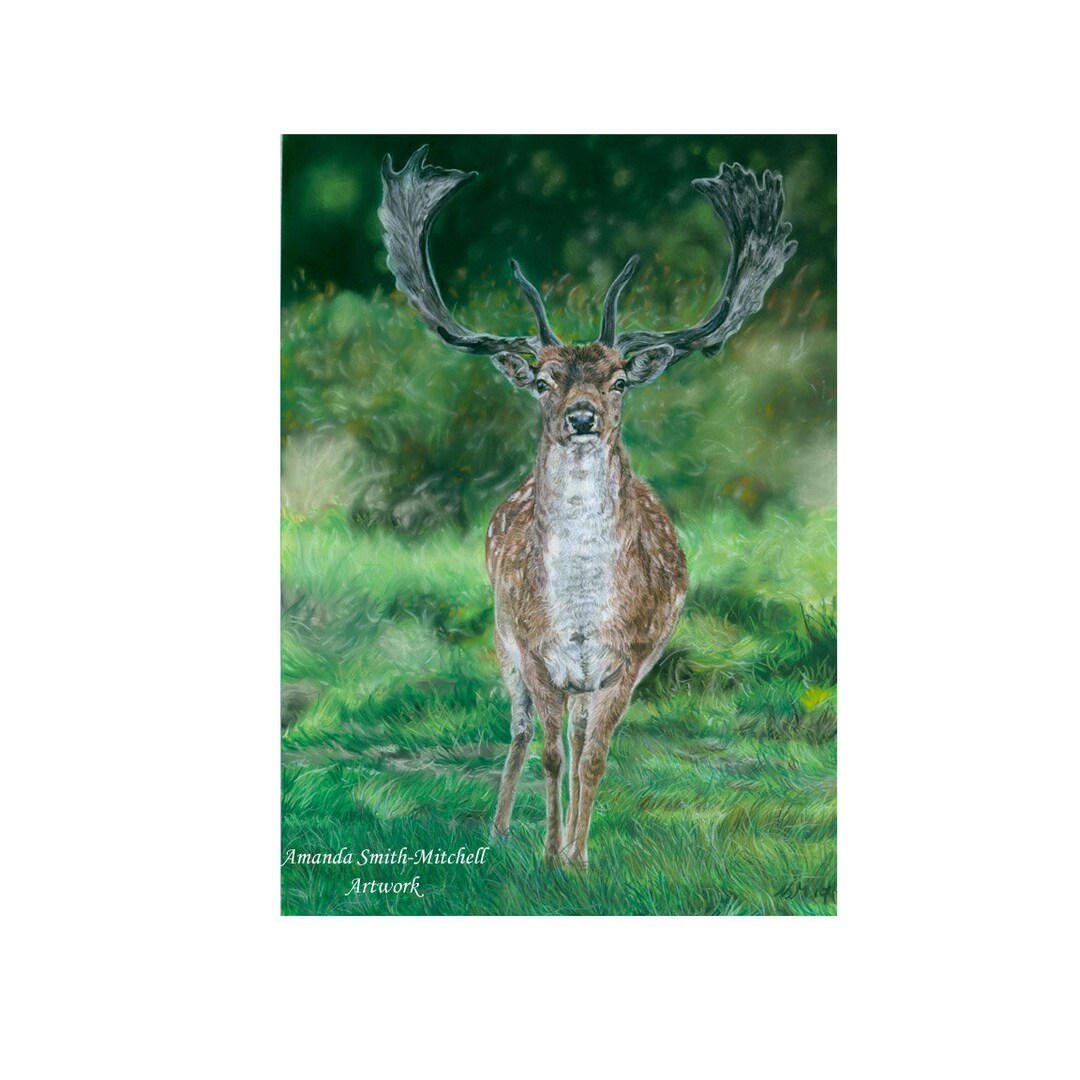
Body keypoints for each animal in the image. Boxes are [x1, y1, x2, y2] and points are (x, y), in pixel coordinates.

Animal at [379, 146, 795, 869]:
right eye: (543, 379)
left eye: (619, 379)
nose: (581, 417)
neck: (577, 609)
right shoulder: (537, 652)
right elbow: (548, 753)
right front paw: (548, 856)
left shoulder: (625, 663)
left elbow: (594, 759)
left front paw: (578, 858)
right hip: (502, 639)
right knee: (520, 730)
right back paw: (498, 831)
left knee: (577, 742)